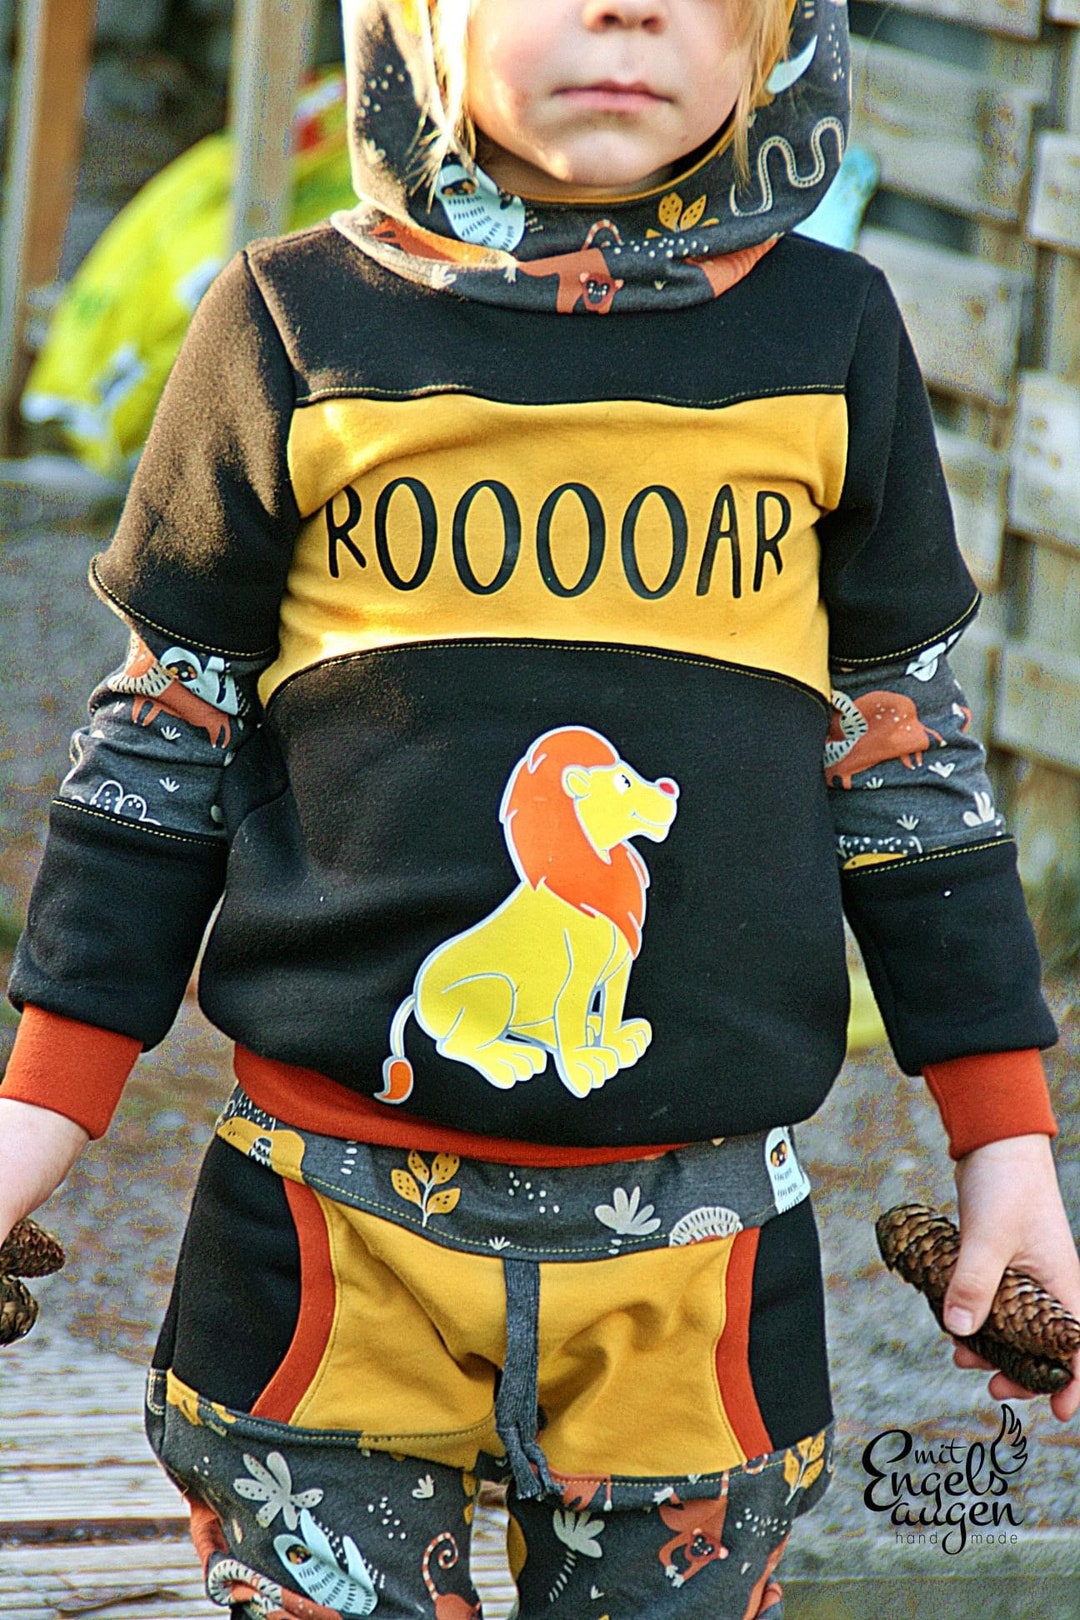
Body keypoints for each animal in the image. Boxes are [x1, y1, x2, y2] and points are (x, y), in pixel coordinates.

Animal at [378, 726, 678, 1102]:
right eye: (623, 781)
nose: (670, 788)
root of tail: (416, 998)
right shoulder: (579, 974)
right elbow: (571, 1017)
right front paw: (583, 1064)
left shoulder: (621, 968)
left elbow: (611, 1008)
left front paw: (614, 1040)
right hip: (495, 988)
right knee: (454, 1046)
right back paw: (508, 1060)